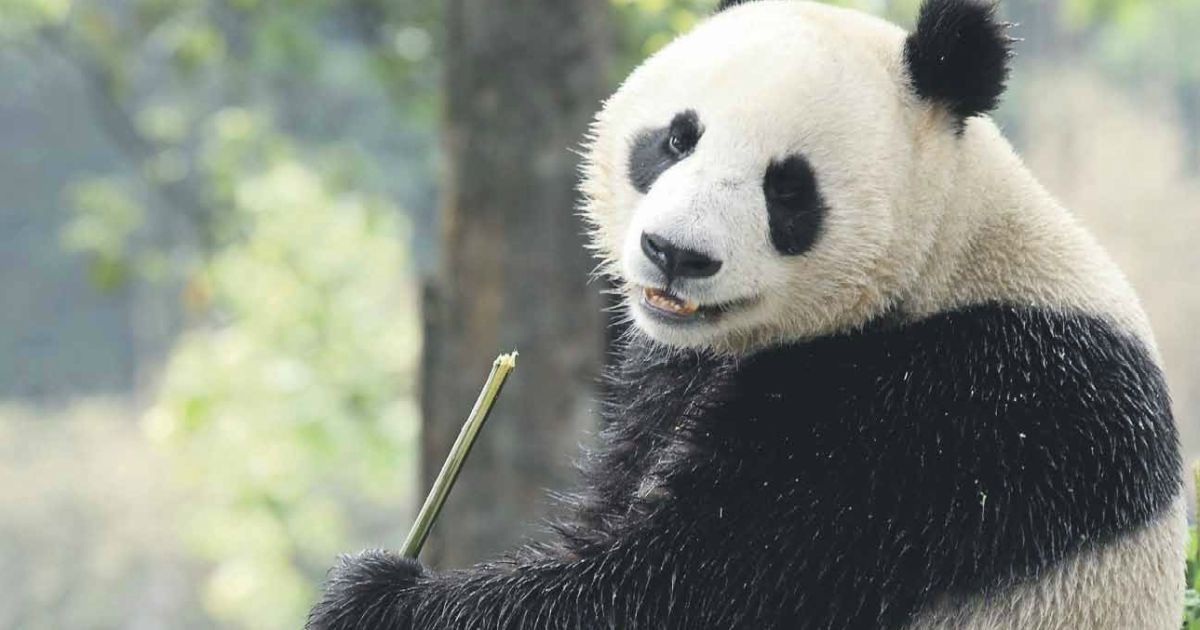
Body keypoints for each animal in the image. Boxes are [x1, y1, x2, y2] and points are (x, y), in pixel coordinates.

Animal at [308, 0, 1187, 628]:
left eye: (788, 188)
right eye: (675, 138)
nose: (675, 253)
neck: (944, 254)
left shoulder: (954, 420)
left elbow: (685, 585)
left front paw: (378, 598)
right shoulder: (674, 372)